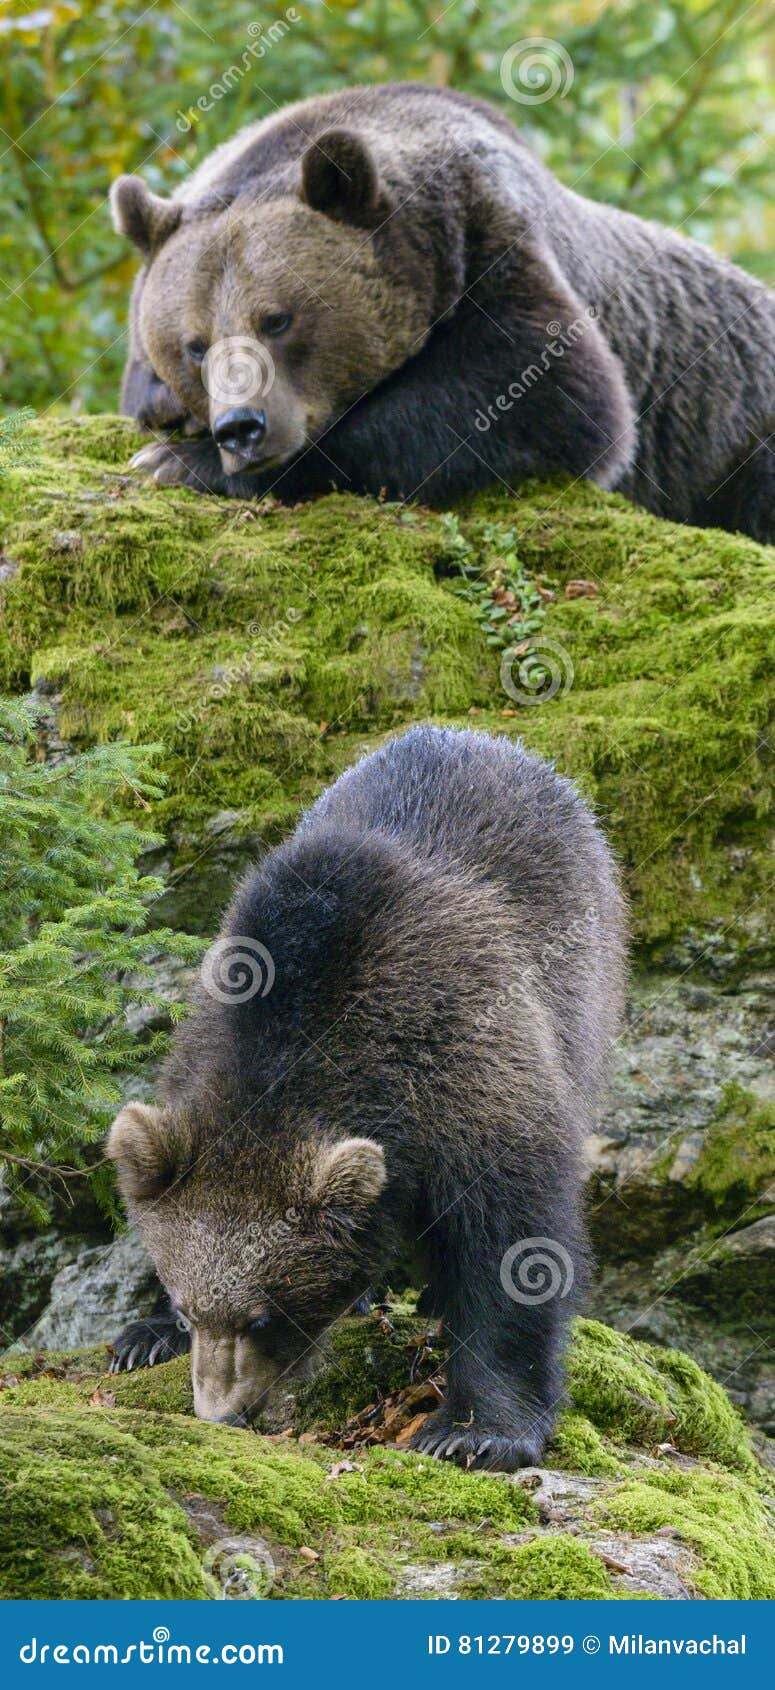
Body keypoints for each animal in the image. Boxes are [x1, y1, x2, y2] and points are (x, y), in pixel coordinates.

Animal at [106, 724, 626, 1472]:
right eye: (186, 1305)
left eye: (266, 1314)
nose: (221, 1412)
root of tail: (483, 738)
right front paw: (145, 1335)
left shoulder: (469, 1066)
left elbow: (511, 1245)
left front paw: (473, 1430)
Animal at [110, 83, 775, 542]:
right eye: (195, 344)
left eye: (278, 320)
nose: (241, 428)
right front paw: (169, 426)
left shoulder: (489, 239)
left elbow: (546, 392)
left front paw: (178, 463)